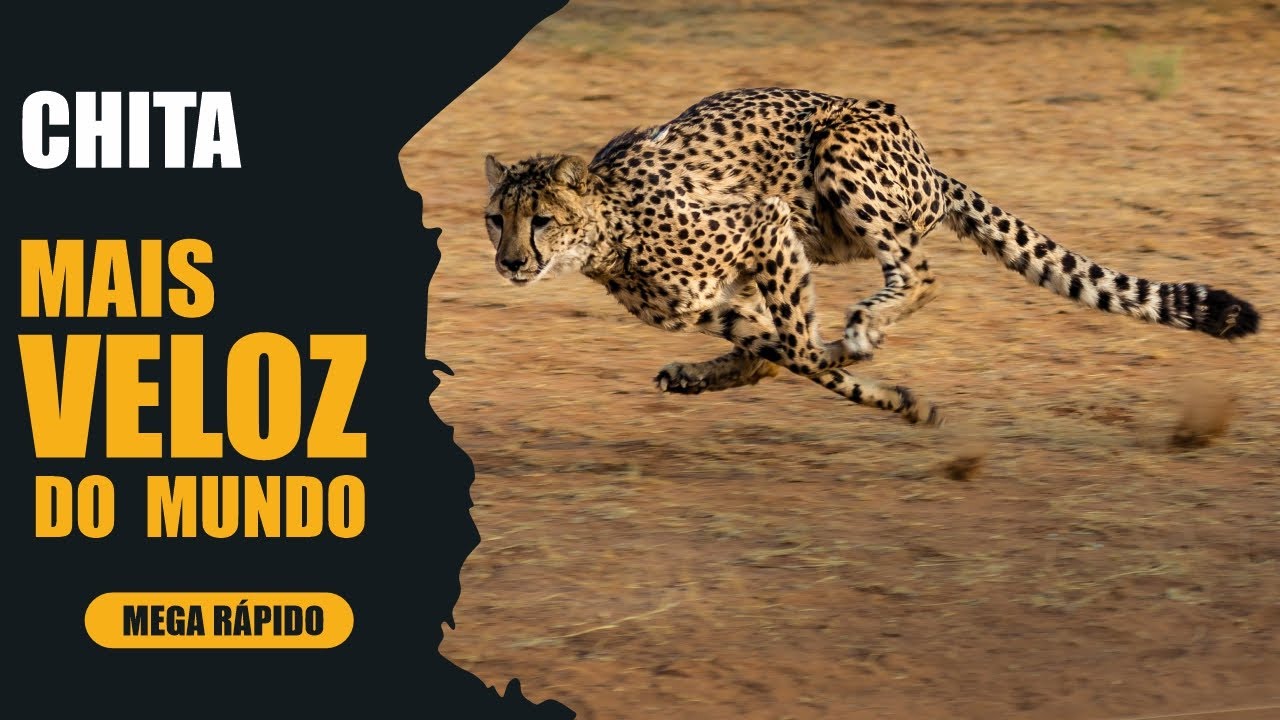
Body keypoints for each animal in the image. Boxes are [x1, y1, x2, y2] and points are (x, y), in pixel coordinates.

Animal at [481, 87, 1260, 426]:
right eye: (496, 220)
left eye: (540, 220)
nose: (511, 263)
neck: (608, 233)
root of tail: (930, 162)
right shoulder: (717, 301)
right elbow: (782, 353)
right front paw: (893, 396)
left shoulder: (764, 223)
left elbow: (800, 350)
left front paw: (885, 386)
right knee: (781, 347)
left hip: (839, 155)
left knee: (920, 273)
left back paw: (863, 327)